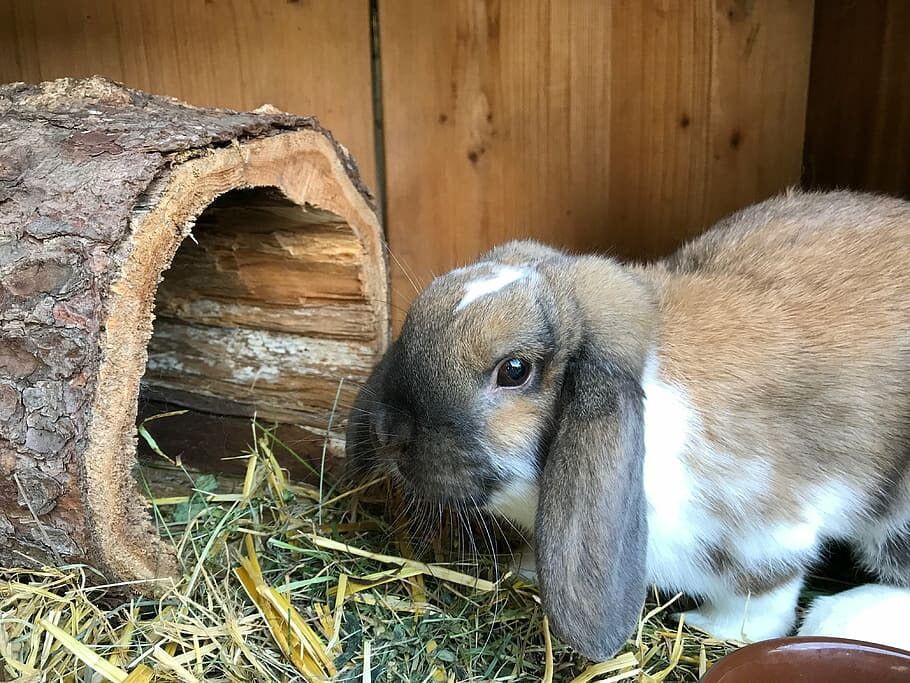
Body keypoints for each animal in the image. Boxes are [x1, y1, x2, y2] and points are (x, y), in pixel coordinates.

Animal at [346, 189, 910, 661]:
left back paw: (840, 616)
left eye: (514, 370)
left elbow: (762, 598)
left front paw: (711, 629)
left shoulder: (771, 531)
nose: (389, 431)